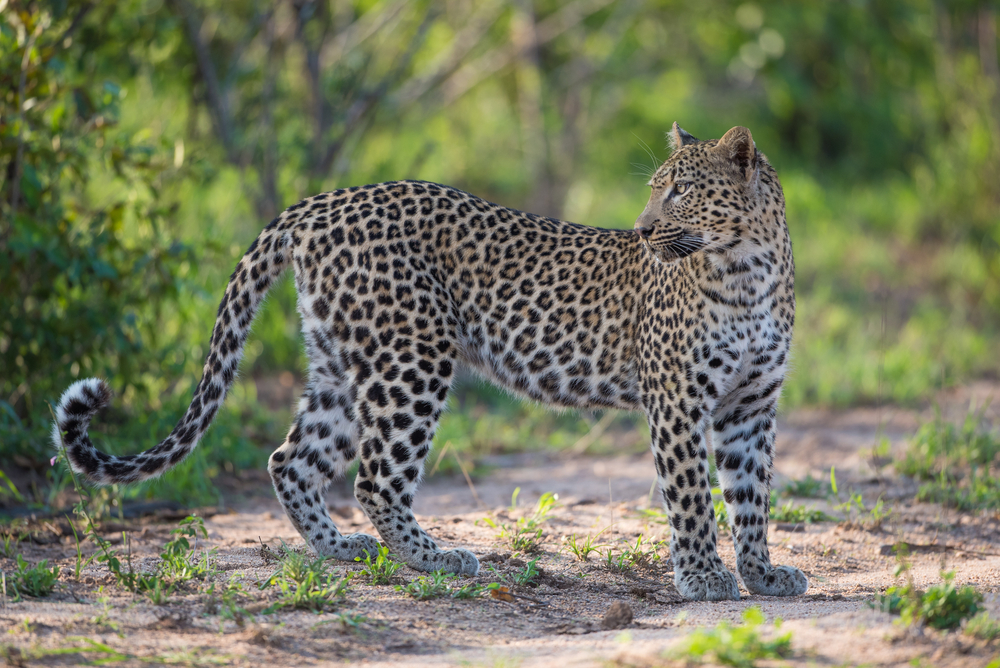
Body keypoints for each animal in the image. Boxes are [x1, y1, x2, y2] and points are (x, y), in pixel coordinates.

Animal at [52, 123, 807, 601]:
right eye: (656, 188)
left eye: (680, 190)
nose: (645, 230)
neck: (748, 270)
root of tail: (321, 202)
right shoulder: (677, 398)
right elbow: (691, 497)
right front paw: (704, 580)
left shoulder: (751, 406)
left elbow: (752, 497)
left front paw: (763, 575)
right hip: (411, 360)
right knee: (375, 479)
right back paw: (435, 560)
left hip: (342, 365)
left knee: (291, 459)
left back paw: (342, 550)